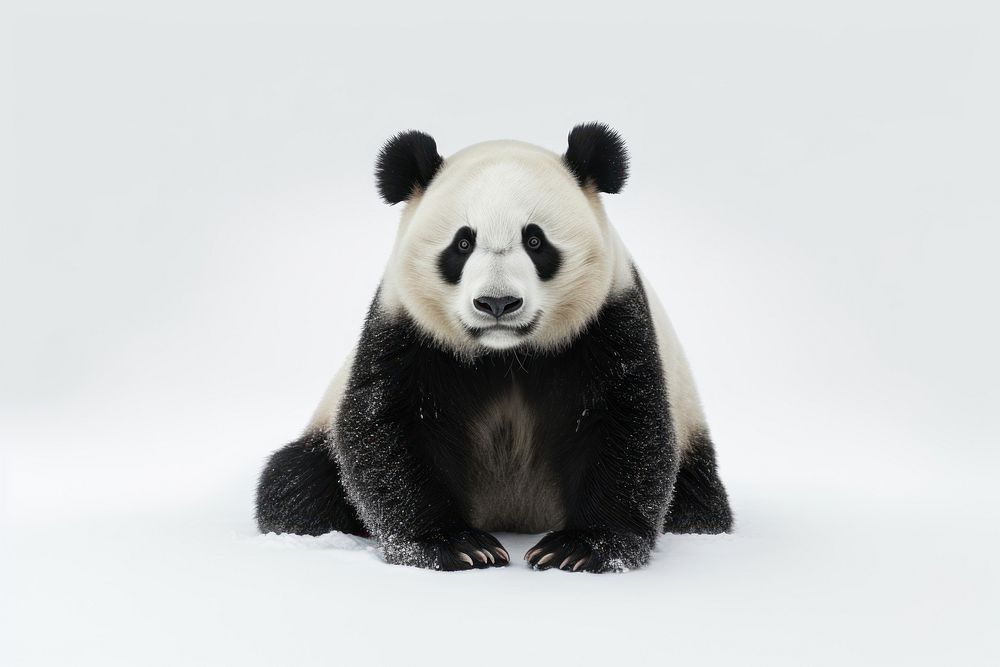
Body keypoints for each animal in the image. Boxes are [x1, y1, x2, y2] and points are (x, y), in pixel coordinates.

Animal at [256, 123, 732, 572]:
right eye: (463, 243)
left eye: (535, 241)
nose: (497, 303)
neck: (506, 354)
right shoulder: (407, 329)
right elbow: (388, 427)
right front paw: (455, 546)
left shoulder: (608, 321)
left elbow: (627, 426)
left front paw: (580, 549)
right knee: (297, 485)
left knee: (698, 502)